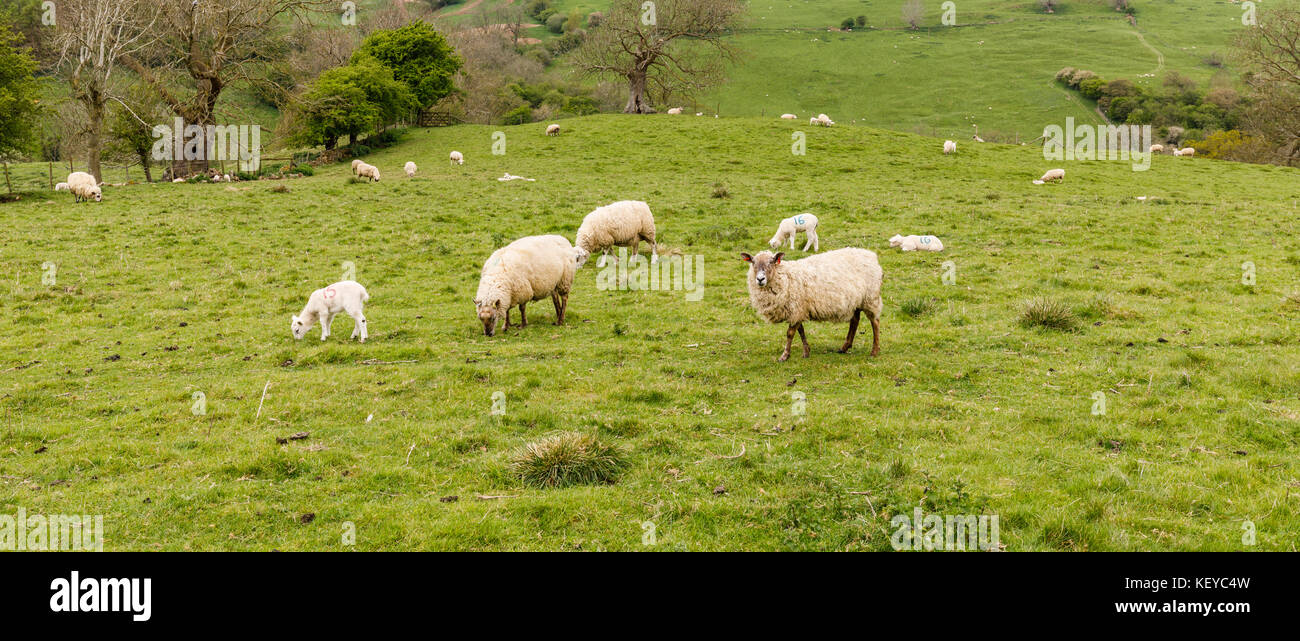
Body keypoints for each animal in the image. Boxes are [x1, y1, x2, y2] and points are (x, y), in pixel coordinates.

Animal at [740, 248, 884, 361]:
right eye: (753, 262)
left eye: (771, 262)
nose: (760, 279)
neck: (785, 276)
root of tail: (871, 256)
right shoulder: (797, 310)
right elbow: (800, 330)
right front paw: (806, 352)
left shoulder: (797, 308)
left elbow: (790, 333)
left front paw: (785, 355)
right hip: (855, 300)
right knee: (855, 321)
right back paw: (844, 347)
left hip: (870, 298)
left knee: (875, 322)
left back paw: (874, 351)